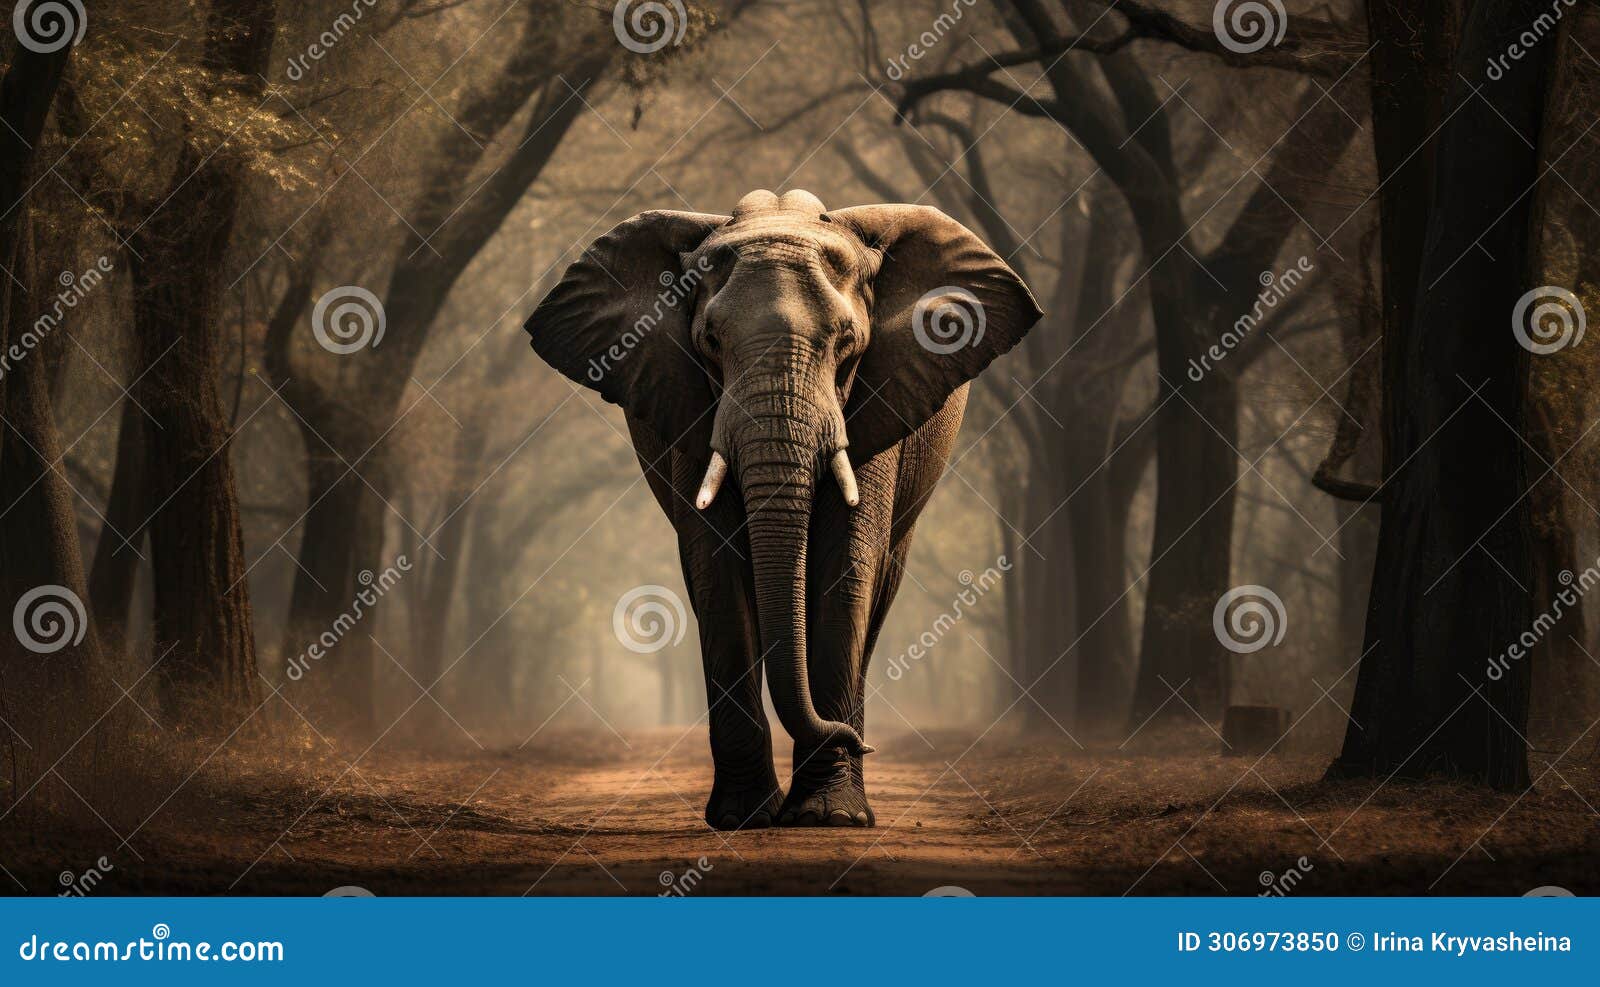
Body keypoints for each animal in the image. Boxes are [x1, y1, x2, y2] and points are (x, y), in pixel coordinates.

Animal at [525, 189, 1041, 829]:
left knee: (880, 590)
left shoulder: (877, 396)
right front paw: (744, 818)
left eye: (847, 343)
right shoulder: (689, 406)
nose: (859, 742)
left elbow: (847, 567)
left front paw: (829, 817)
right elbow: (716, 569)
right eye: (710, 343)